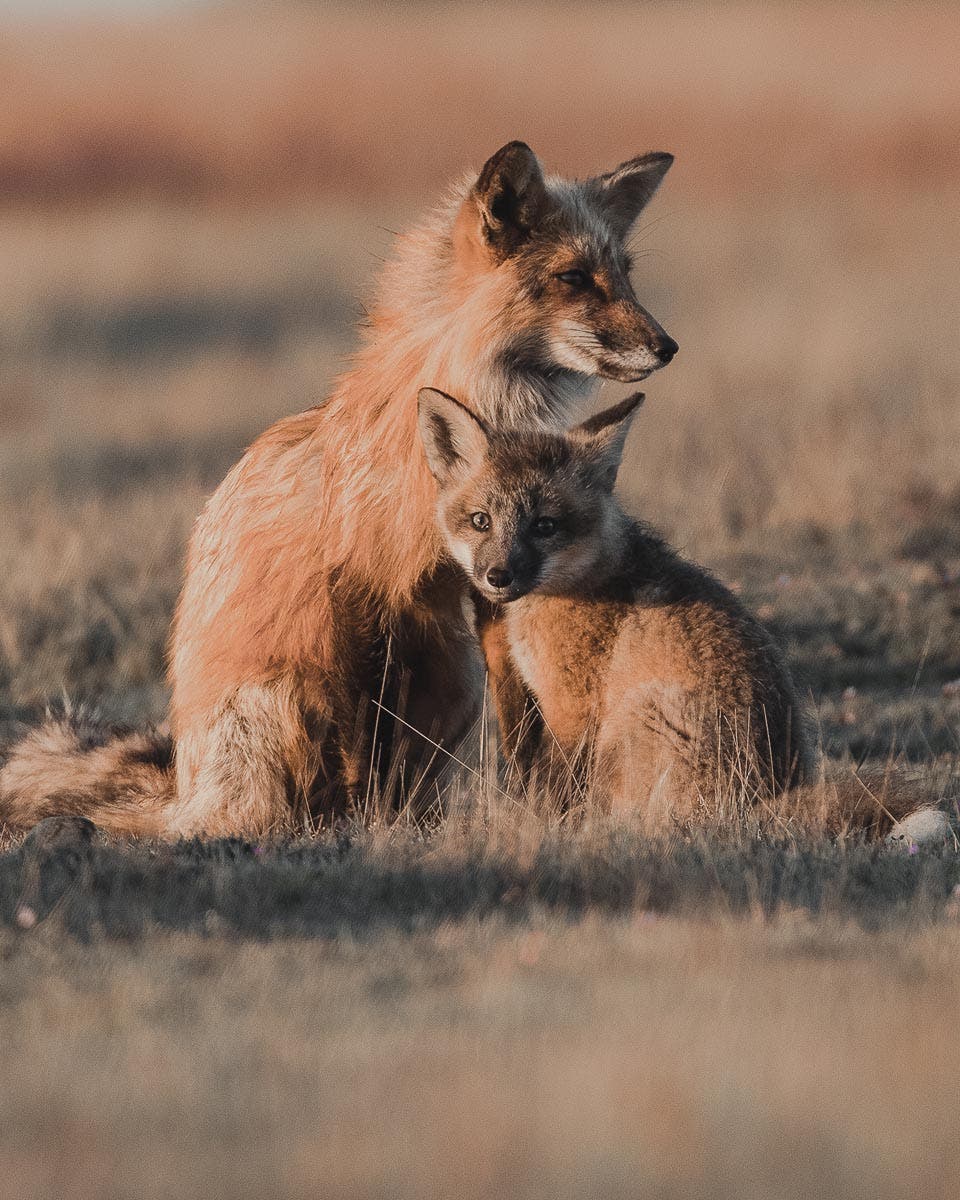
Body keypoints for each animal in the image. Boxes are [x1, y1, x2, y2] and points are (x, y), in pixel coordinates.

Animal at [0, 141, 678, 839]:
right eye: (573, 278)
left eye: (624, 275)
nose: (666, 346)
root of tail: (184, 788)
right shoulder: (358, 601)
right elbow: (366, 738)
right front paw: (368, 826)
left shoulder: (480, 593)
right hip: (283, 696)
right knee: (263, 806)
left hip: (453, 675)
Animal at [417, 387, 949, 836]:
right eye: (481, 521)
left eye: (545, 526)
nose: (498, 577)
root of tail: (761, 797)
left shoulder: (573, 704)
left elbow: (555, 783)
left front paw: (546, 827)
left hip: (634, 719)